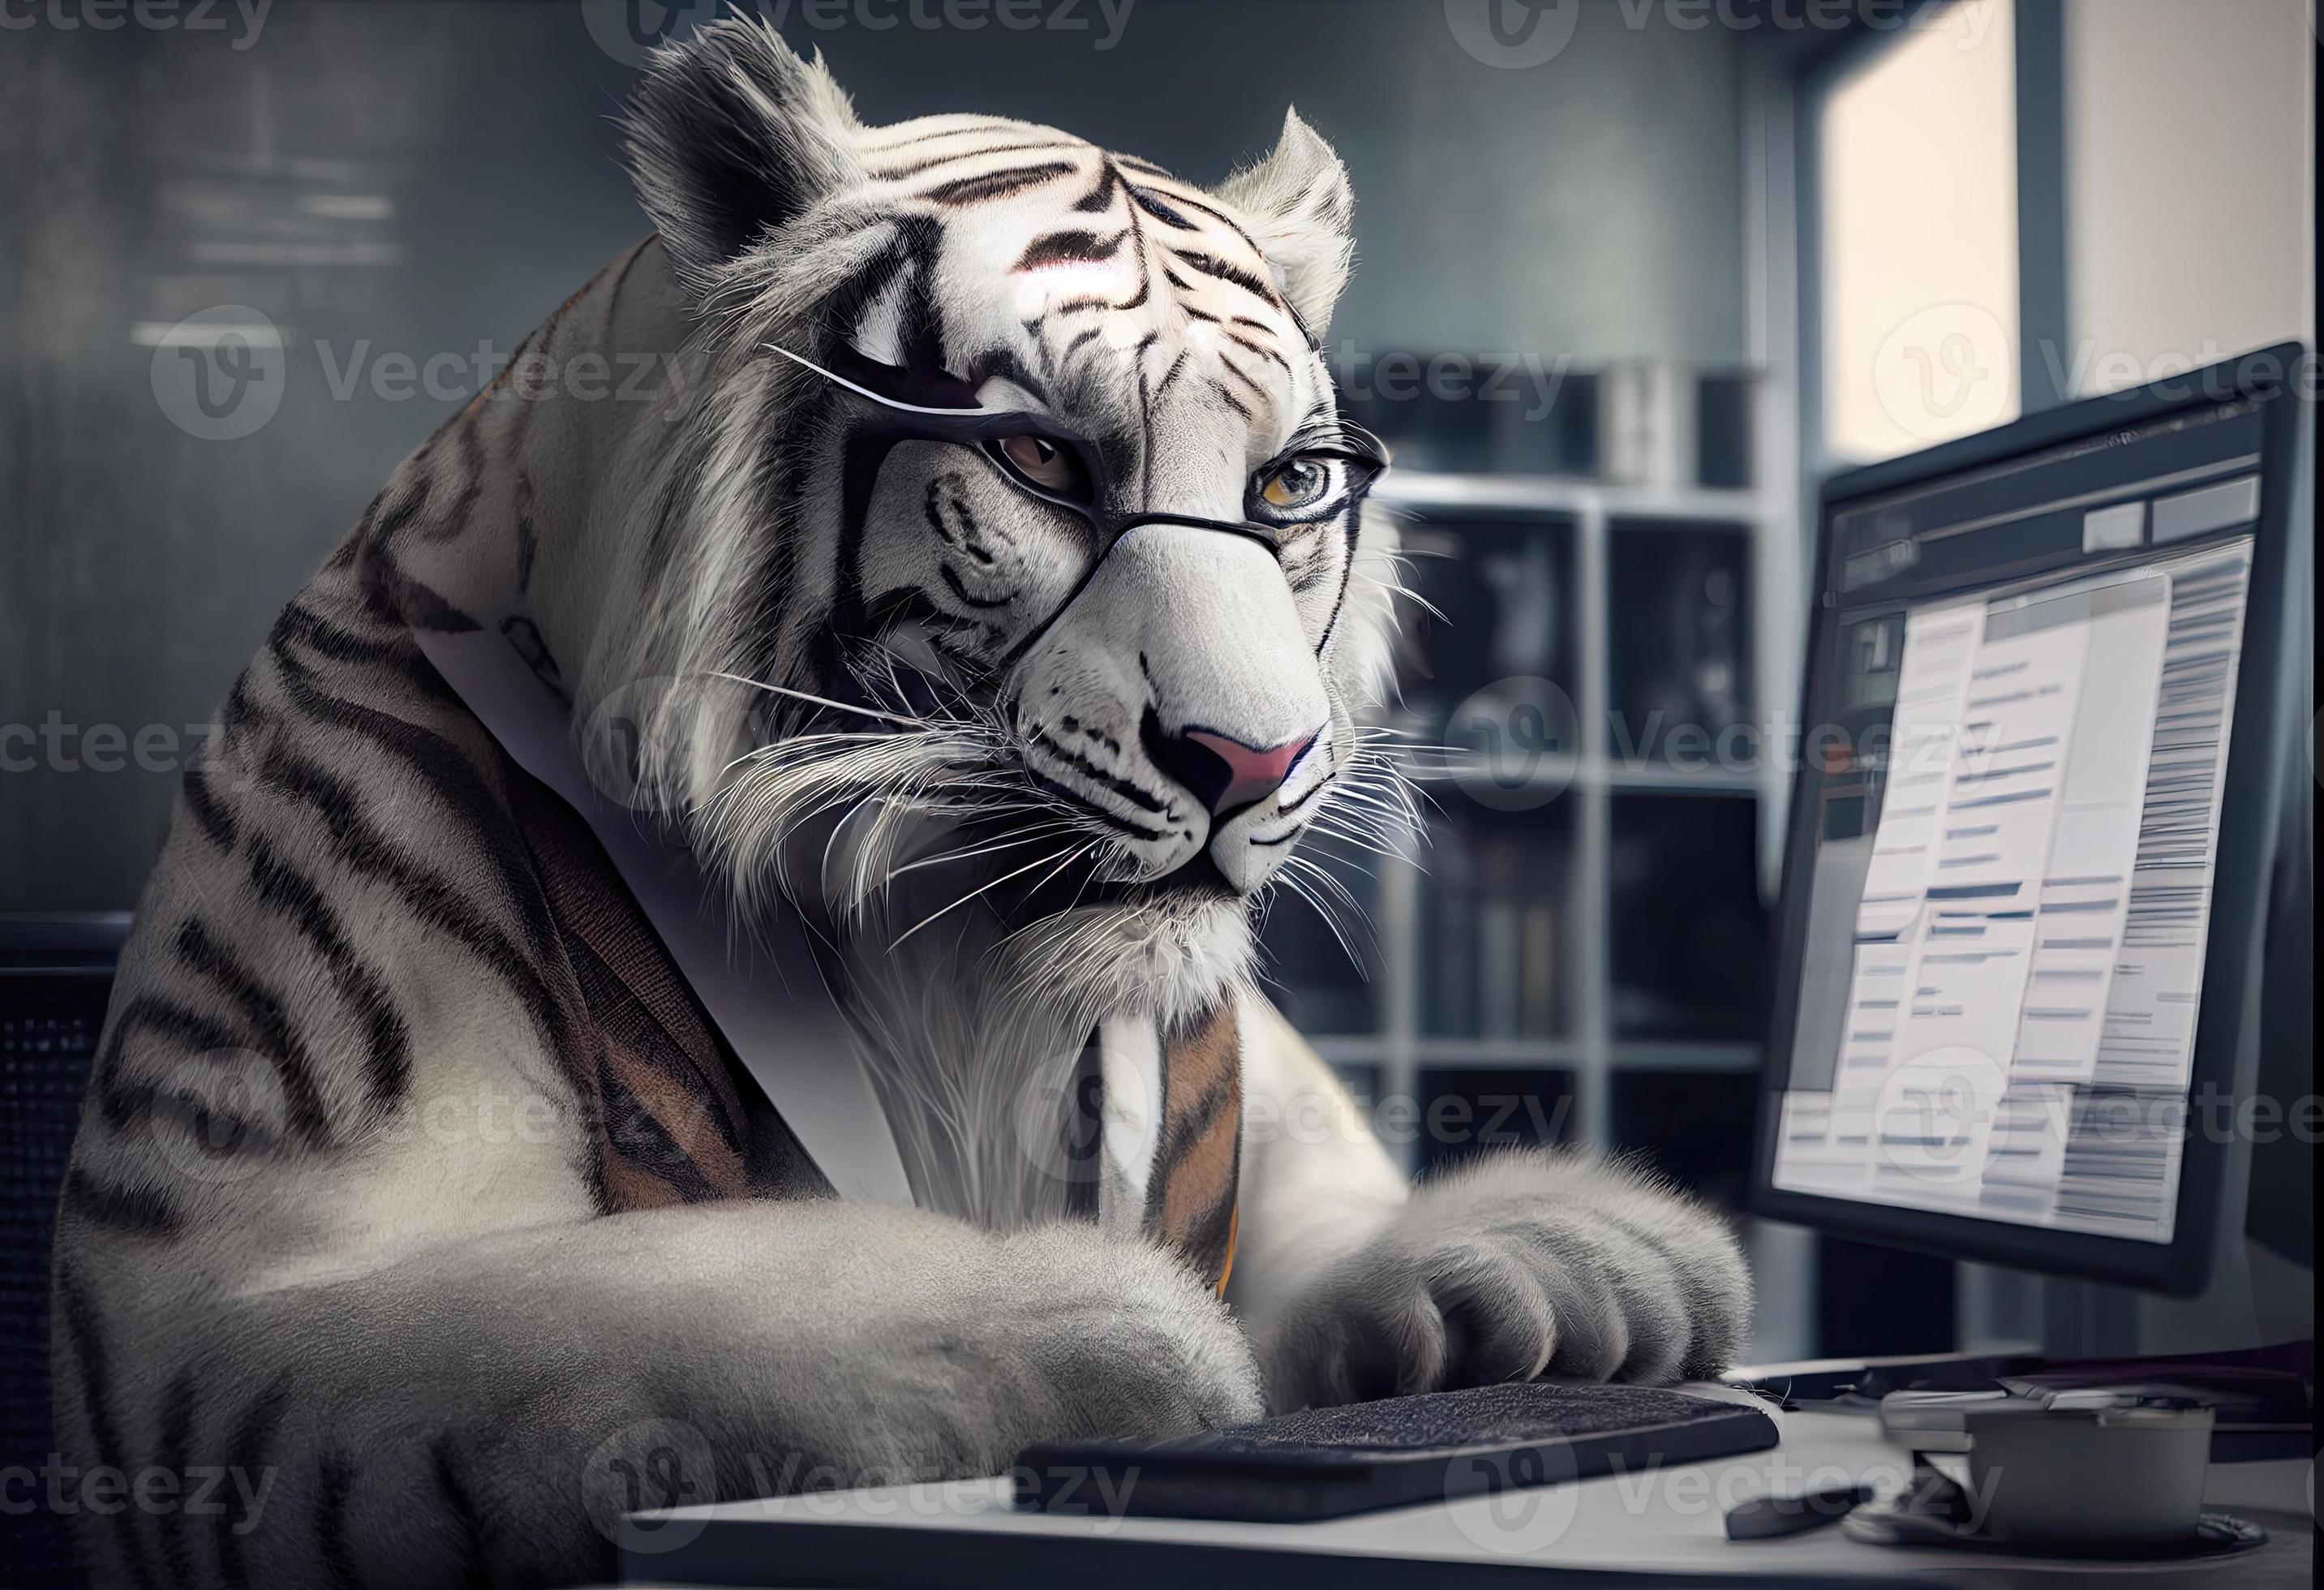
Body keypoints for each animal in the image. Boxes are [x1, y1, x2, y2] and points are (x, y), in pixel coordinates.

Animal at [51, 19, 1750, 1588]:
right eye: (1043, 459)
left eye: (1284, 489)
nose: (1253, 761)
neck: (943, 952)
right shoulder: (245, 1293)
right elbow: (661, 1311)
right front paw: (1110, 1332)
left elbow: (1321, 1206)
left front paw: (1570, 1262)